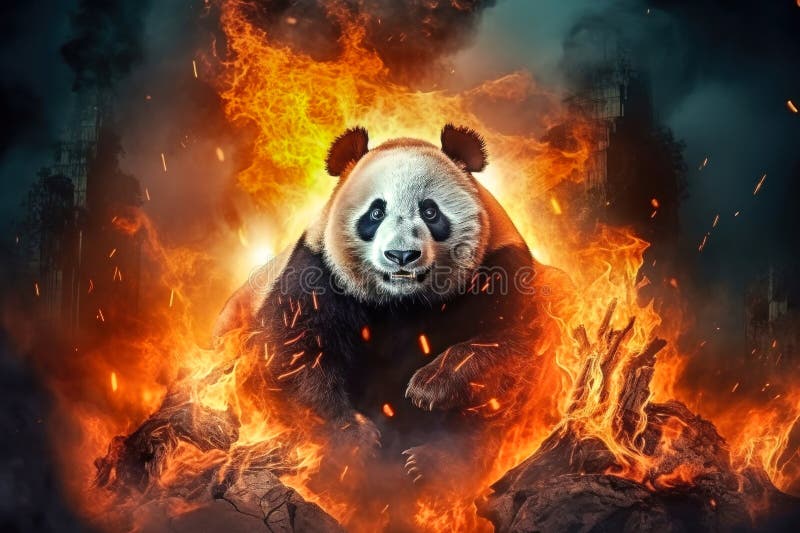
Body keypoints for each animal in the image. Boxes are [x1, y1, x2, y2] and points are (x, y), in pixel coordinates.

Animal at [211, 124, 556, 489]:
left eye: (430, 211)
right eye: (376, 213)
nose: (401, 255)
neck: (403, 300)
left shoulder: (500, 269)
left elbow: (517, 343)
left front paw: (427, 387)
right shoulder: (317, 273)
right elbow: (290, 353)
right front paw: (357, 438)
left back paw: (432, 462)